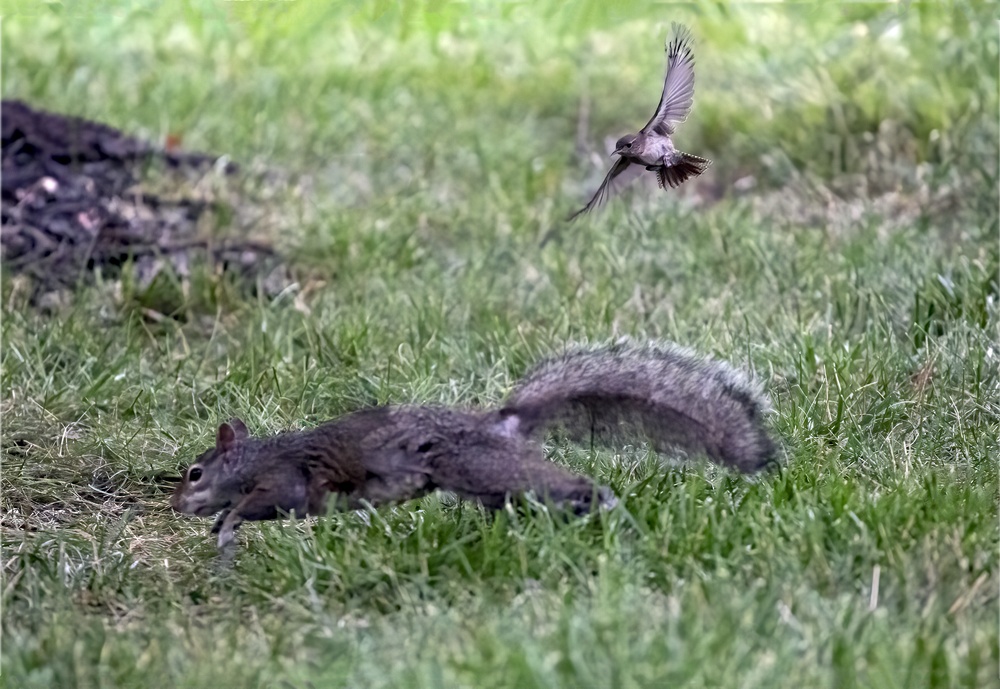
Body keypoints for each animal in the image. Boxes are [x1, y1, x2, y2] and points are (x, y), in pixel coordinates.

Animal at [171, 340, 777, 549]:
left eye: (195, 473)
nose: (176, 504)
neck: (253, 459)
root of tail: (497, 426)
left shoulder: (284, 482)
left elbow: (265, 504)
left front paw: (226, 521)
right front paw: (216, 523)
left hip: (478, 467)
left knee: (569, 484)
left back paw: (602, 506)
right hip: (489, 483)